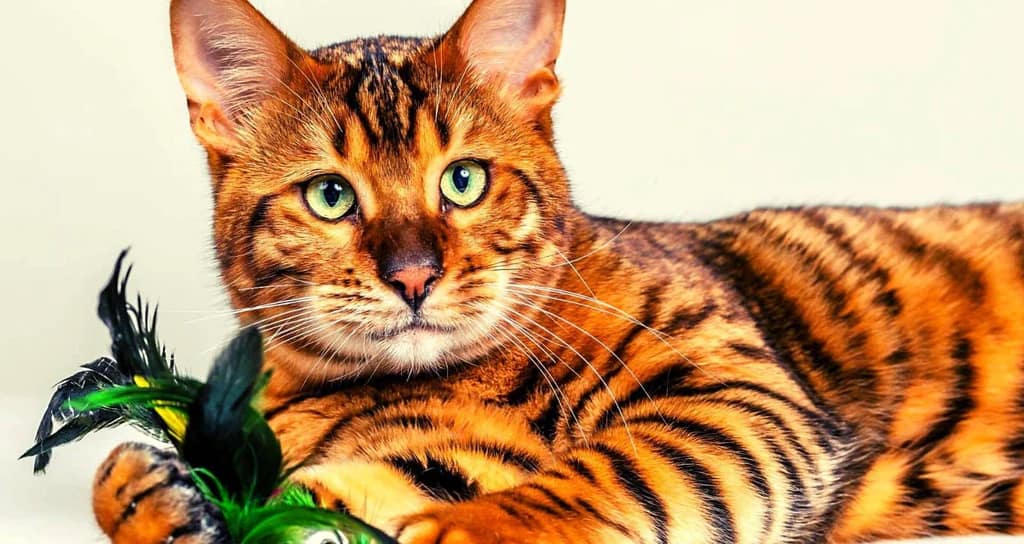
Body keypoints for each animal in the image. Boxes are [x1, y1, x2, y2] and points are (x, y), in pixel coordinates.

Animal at [91, 0, 1024, 542]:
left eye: (463, 181)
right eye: (330, 196)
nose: (414, 277)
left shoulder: (743, 394)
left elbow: (608, 469)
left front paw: (474, 531)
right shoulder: (434, 455)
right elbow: (151, 480)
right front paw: (170, 499)